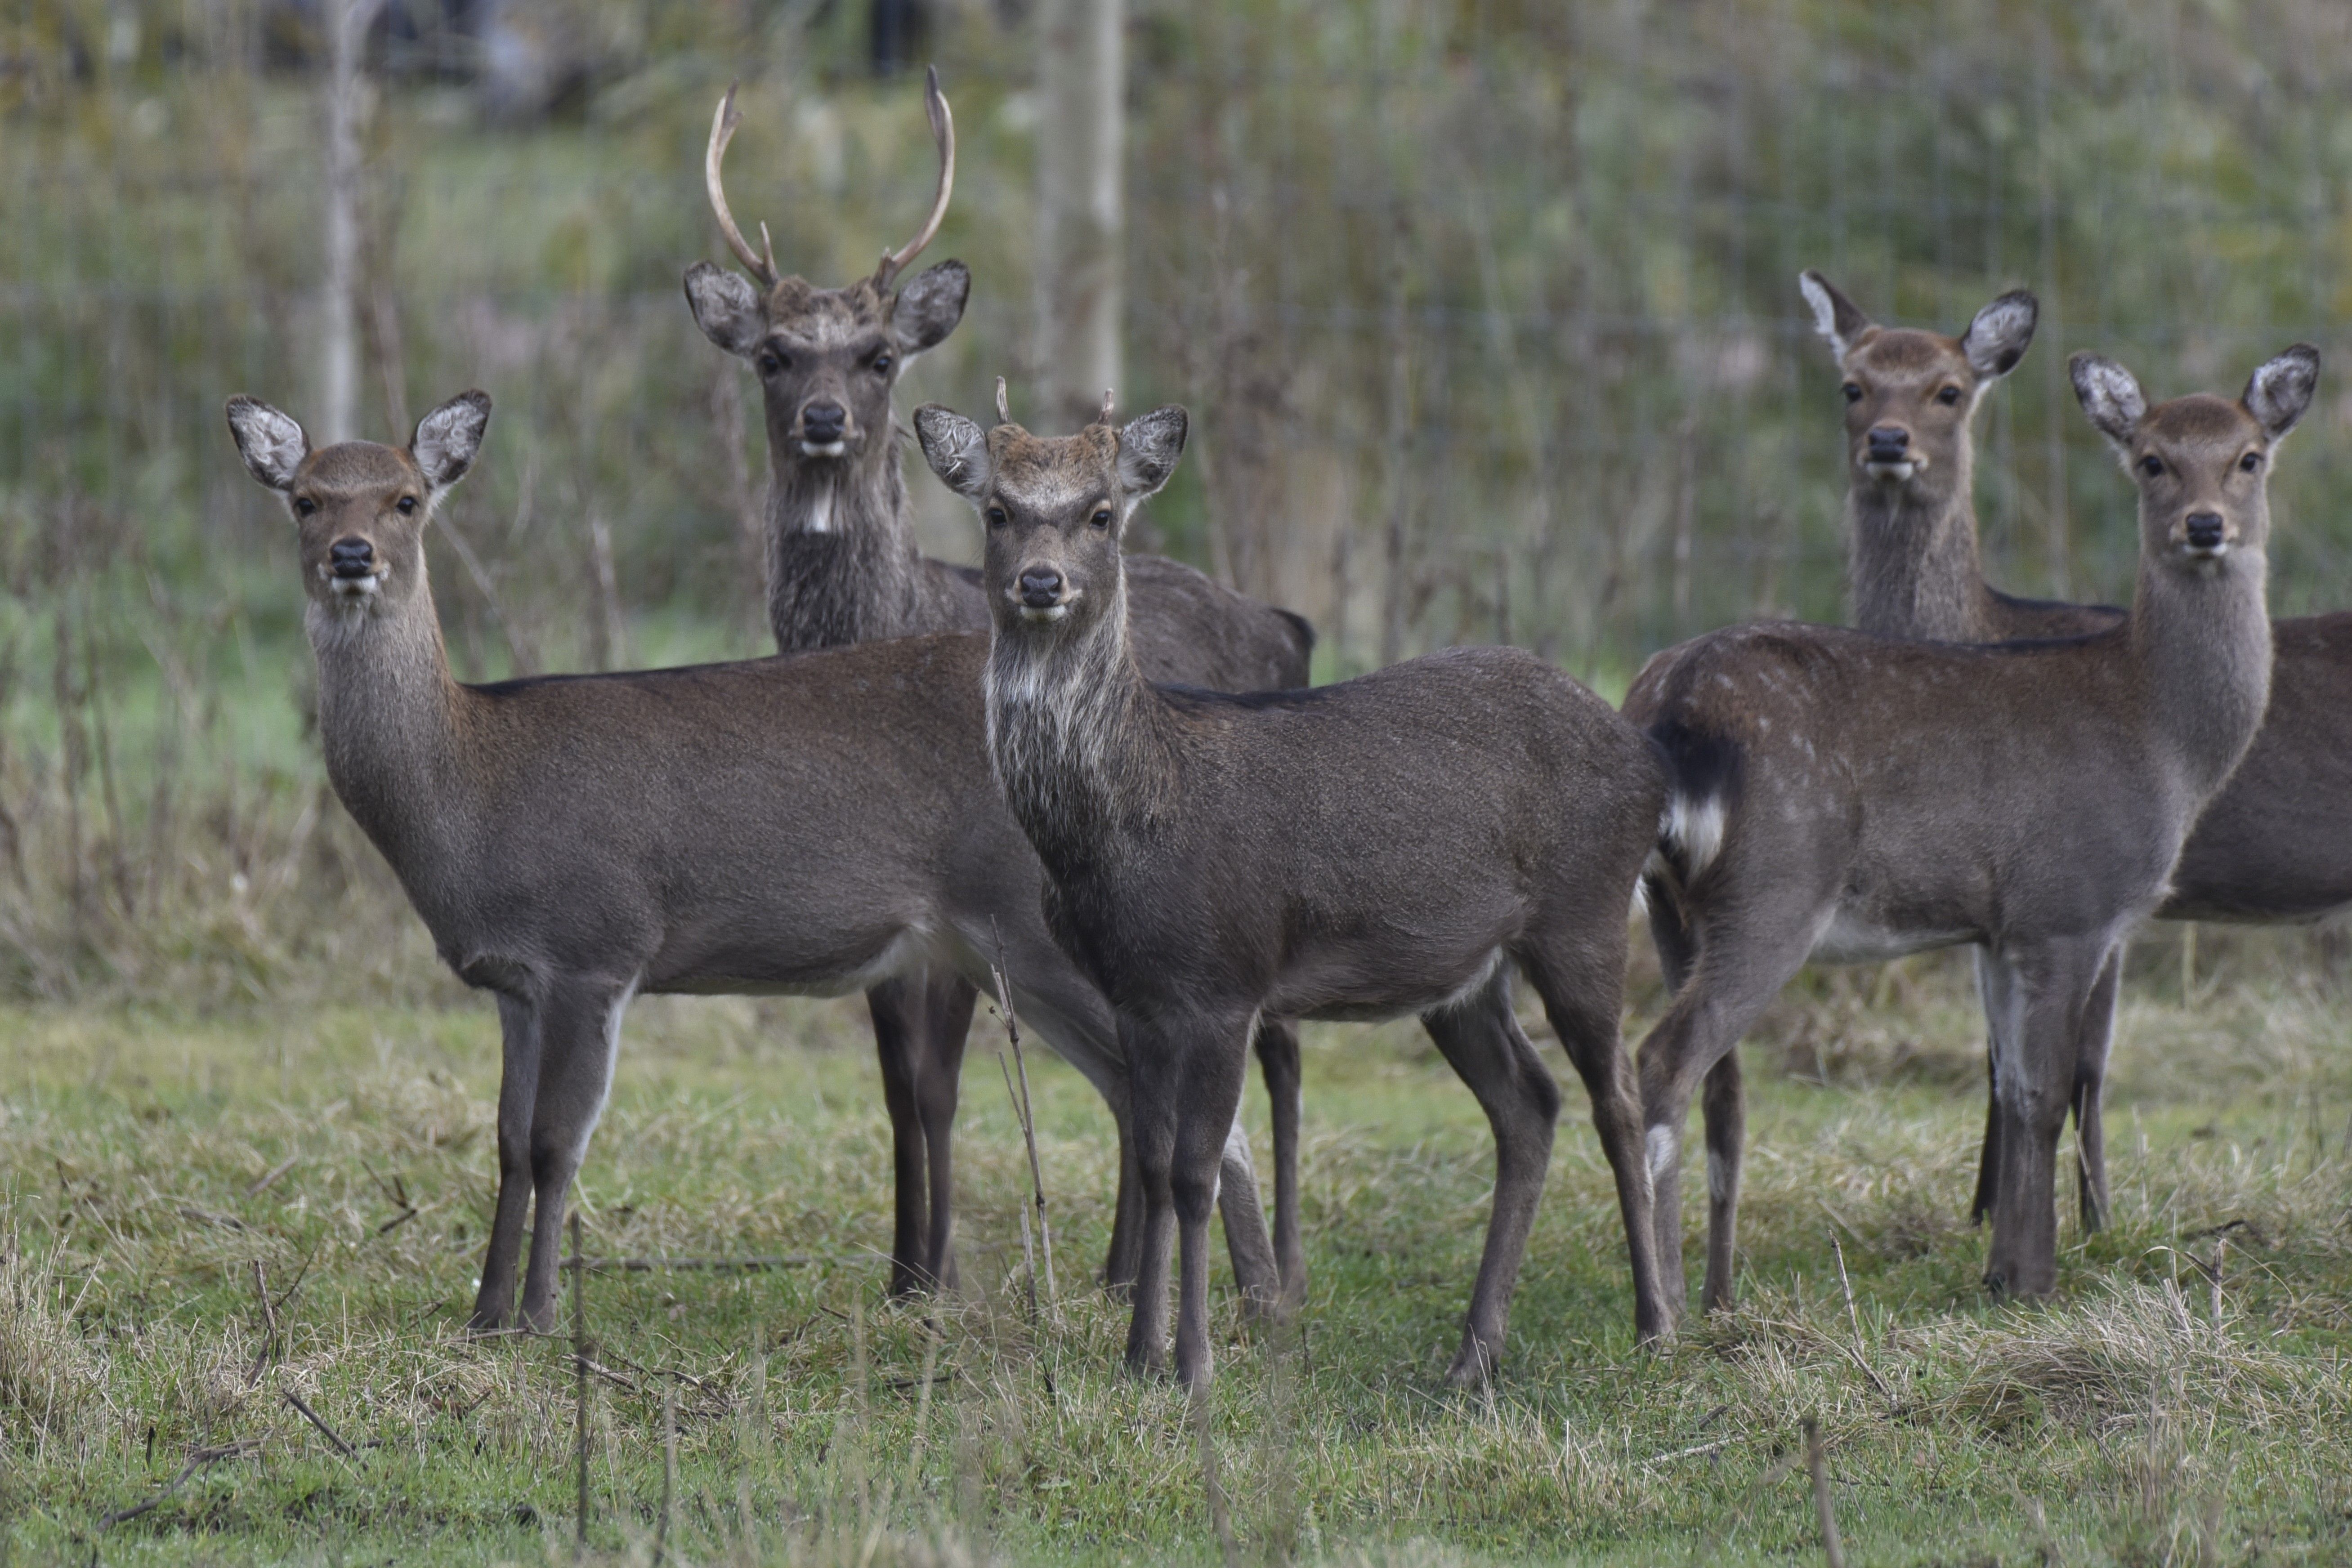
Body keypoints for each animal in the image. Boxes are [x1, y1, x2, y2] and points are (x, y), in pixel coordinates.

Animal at [223, 388, 1308, 1337]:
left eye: (407, 497)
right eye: (306, 498)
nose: (353, 554)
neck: (471, 791)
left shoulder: (594, 946)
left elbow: (554, 1143)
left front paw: (536, 1316)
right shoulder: (513, 981)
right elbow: (504, 1143)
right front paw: (484, 1313)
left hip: (1035, 930)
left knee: (1201, 1107)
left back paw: (1256, 1306)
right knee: (1142, 1098)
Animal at [681, 72, 1315, 1310]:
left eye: (879, 355)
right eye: (774, 354)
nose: (825, 419)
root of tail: (1286, 625)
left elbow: (940, 1082)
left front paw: (934, 1278)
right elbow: (901, 1086)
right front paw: (906, 1272)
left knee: (1273, 1042)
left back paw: (1268, 1267)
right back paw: (1129, 1268)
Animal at [913, 394, 1670, 1387]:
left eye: (1101, 513)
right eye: (998, 510)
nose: (1042, 582)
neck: (1128, 826)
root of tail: (1647, 760)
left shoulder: (1225, 982)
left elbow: (1195, 1171)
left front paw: (1193, 1362)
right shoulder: (1137, 994)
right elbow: (1151, 1160)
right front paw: (1138, 1355)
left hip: (1586, 912)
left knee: (1616, 1095)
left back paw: (1654, 1325)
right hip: (1463, 973)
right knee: (1529, 1105)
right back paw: (1472, 1358)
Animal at [1626, 344, 2314, 1320]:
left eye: (2249, 455)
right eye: (2150, 459)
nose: (2206, 525)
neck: (2164, 741)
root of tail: (1669, 705)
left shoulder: (2001, 925)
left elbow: (2014, 1085)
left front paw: (1999, 1269)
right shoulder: (2070, 903)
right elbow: (2047, 1089)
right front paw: (2033, 1277)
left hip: (1667, 906)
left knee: (1711, 1083)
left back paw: (1702, 1296)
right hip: (1775, 887)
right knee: (1663, 1059)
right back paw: (1664, 1314)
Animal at [1803, 271, 2352, 1236]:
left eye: (1950, 389)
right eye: (1852, 385)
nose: (1888, 442)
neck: (1986, 627)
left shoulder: (2104, 898)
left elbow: (2081, 1064)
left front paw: (2091, 1220)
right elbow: (2000, 1059)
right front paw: (1987, 1211)